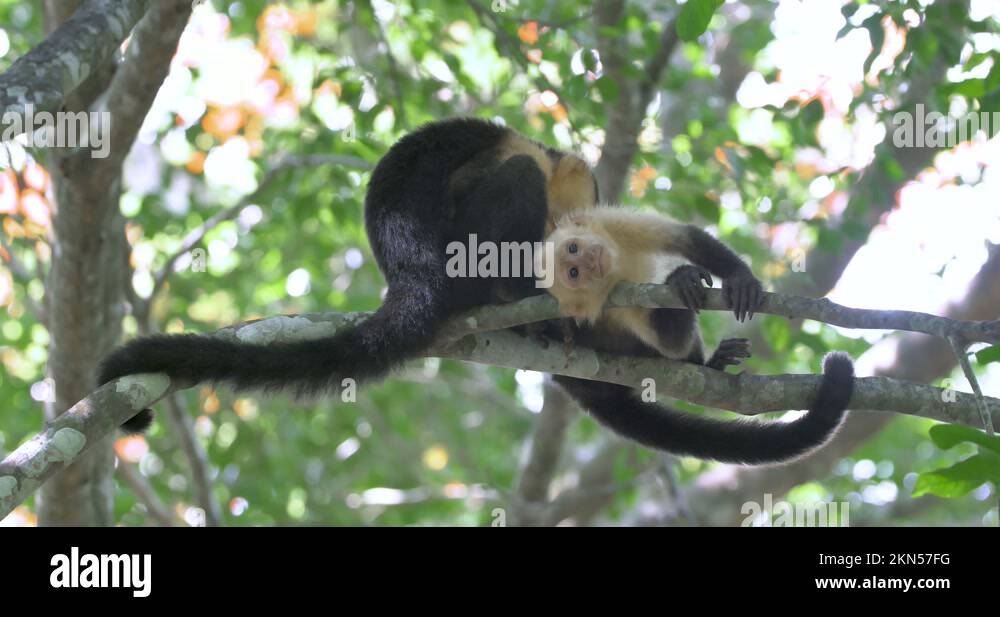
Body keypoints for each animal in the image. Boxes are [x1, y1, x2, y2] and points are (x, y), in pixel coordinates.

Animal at [538, 206, 855, 464]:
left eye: (574, 248)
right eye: (574, 273)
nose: (590, 261)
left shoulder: (612, 224)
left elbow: (687, 237)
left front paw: (738, 277)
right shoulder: (610, 302)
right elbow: (672, 343)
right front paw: (679, 279)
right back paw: (705, 363)